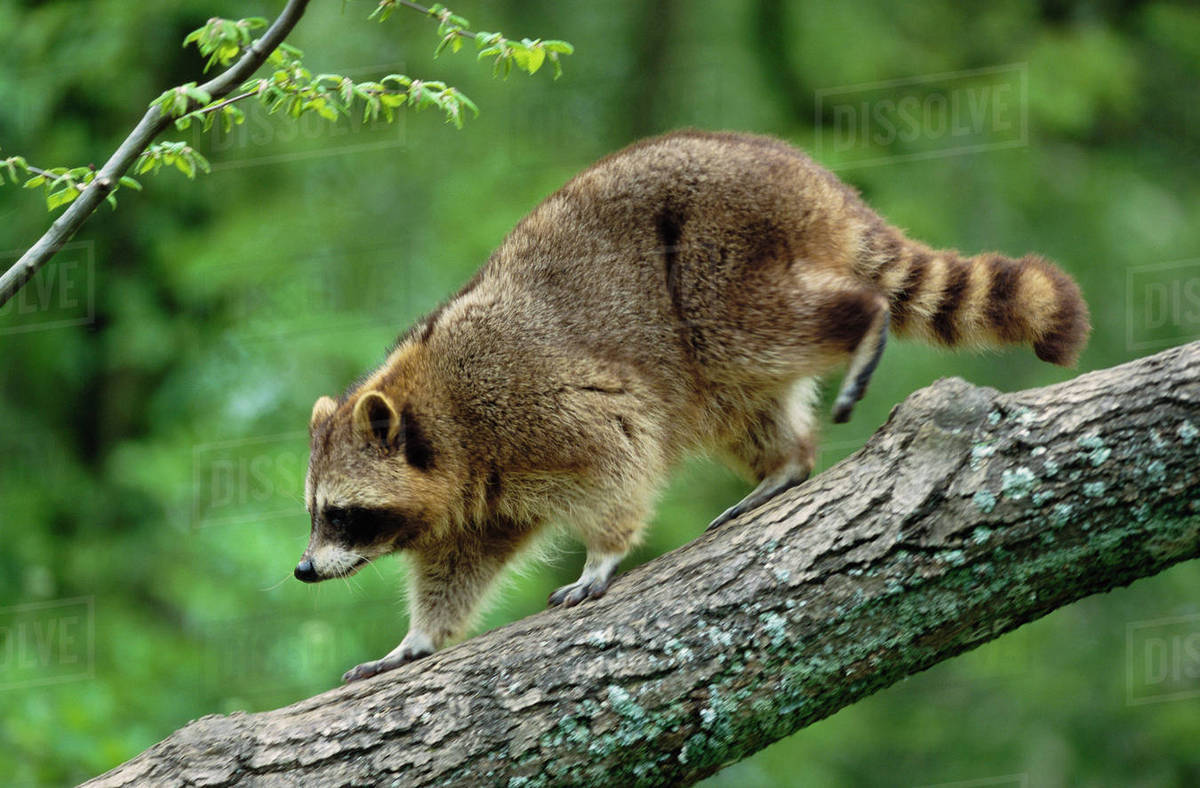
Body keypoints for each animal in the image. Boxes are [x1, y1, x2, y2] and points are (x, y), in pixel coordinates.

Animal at [297, 130, 1089, 683]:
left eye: (342, 515)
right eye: (316, 513)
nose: (303, 571)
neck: (437, 415)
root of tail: (814, 177)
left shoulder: (534, 403)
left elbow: (622, 451)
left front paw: (603, 554)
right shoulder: (480, 496)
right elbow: (457, 568)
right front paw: (418, 639)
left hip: (723, 250)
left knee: (750, 331)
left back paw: (861, 320)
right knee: (741, 398)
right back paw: (784, 462)